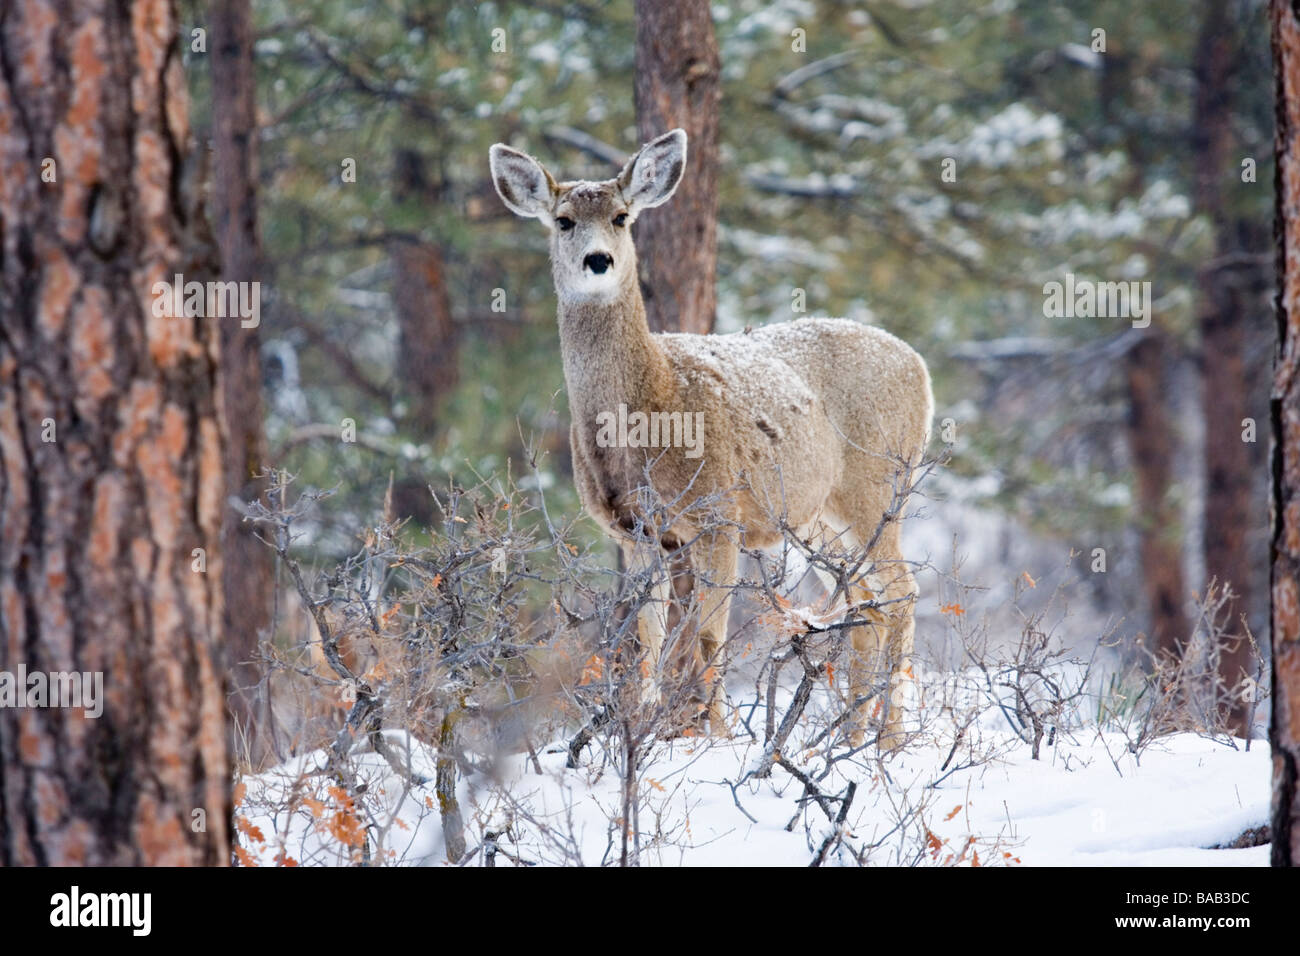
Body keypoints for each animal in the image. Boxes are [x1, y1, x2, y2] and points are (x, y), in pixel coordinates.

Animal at [489, 129, 933, 746]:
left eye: (622, 217)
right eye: (563, 220)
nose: (598, 260)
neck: (653, 403)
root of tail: (920, 365)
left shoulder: (719, 512)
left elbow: (708, 632)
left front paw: (717, 734)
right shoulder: (637, 532)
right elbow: (647, 638)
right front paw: (644, 723)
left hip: (880, 484)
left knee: (902, 591)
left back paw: (887, 741)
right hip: (819, 519)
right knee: (866, 603)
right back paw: (849, 736)